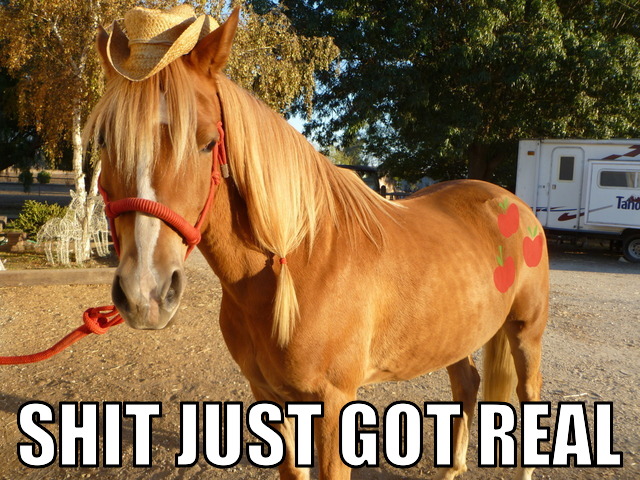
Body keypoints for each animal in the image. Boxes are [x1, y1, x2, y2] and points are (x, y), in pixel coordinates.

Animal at [85, 10, 548, 480]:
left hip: (526, 333)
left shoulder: (333, 403)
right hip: (455, 334)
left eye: (207, 142)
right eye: (104, 140)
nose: (146, 293)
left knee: (529, 396)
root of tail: (511, 202)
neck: (302, 260)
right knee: (466, 386)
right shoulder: (269, 395)